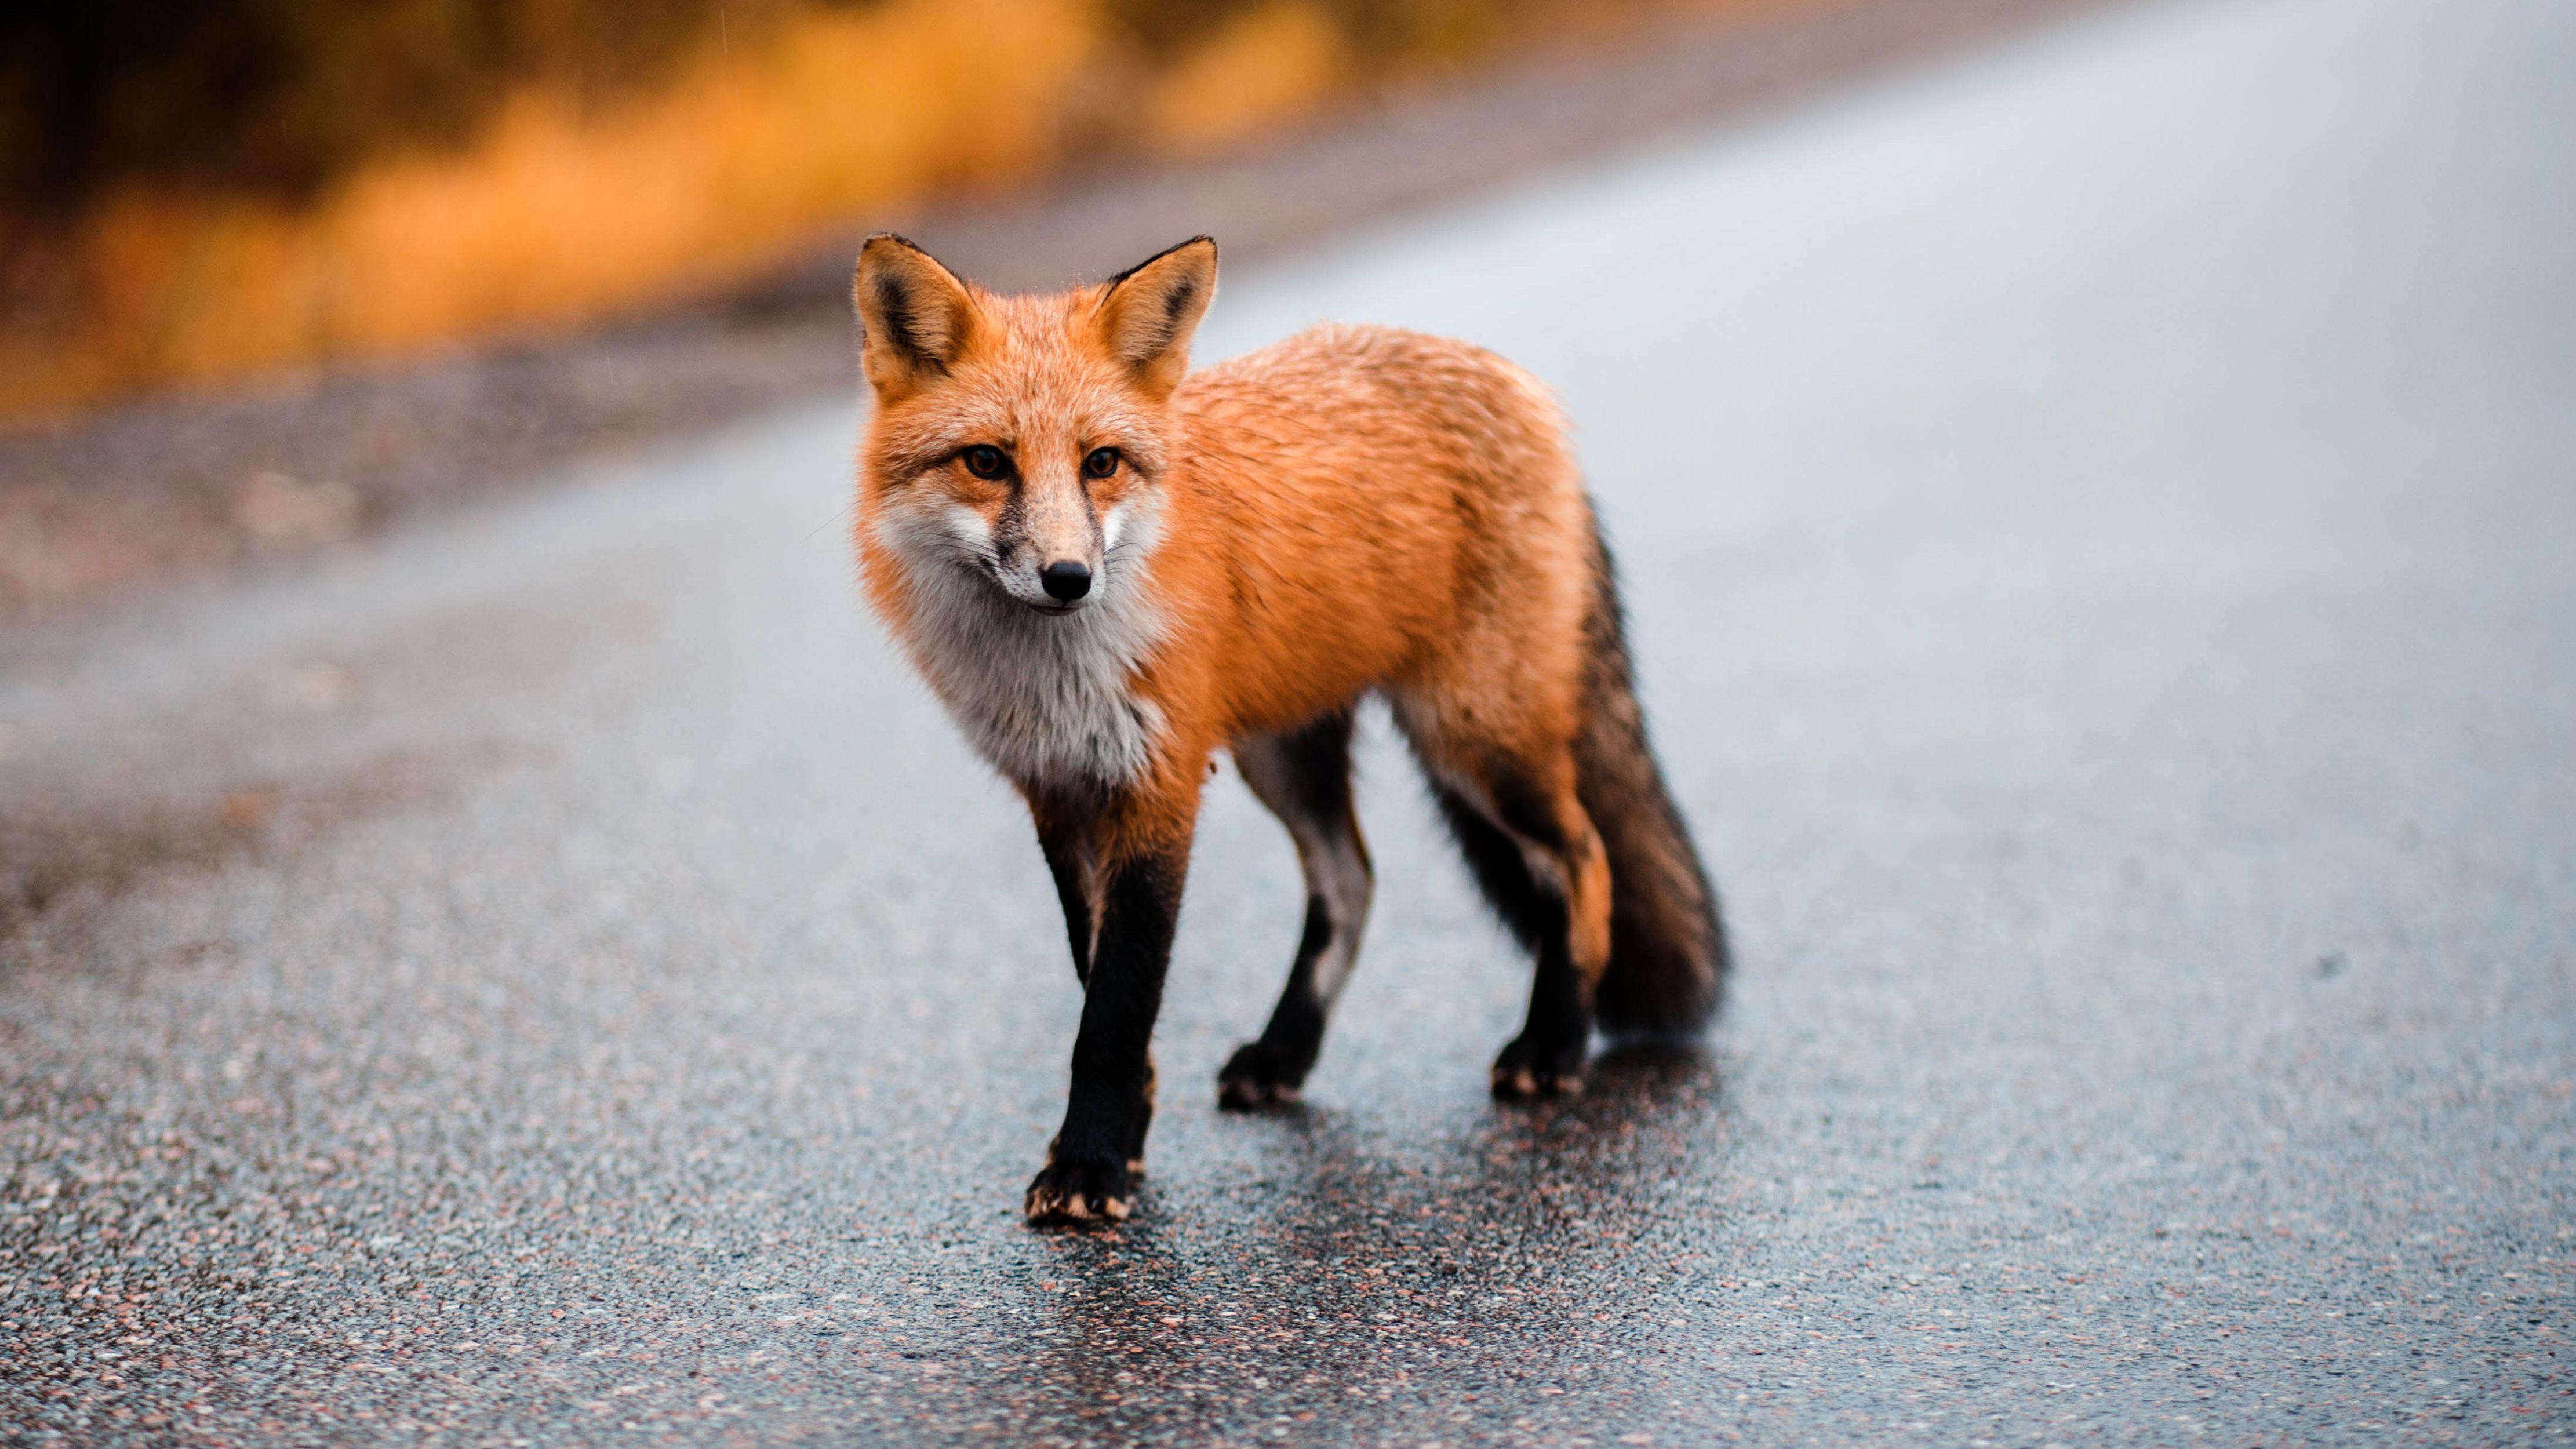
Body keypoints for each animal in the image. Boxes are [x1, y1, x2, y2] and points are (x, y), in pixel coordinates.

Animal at [850, 233, 1726, 1225]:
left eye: (1101, 463)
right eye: (988, 462)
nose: (1070, 578)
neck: (1052, 676)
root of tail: (1511, 379)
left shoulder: (1160, 786)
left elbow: (1115, 1008)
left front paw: (1090, 1165)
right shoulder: (1060, 793)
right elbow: (1097, 983)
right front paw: (1124, 1140)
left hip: (1472, 736)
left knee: (1582, 860)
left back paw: (1553, 1045)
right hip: (1286, 754)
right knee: (1353, 880)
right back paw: (1286, 1055)